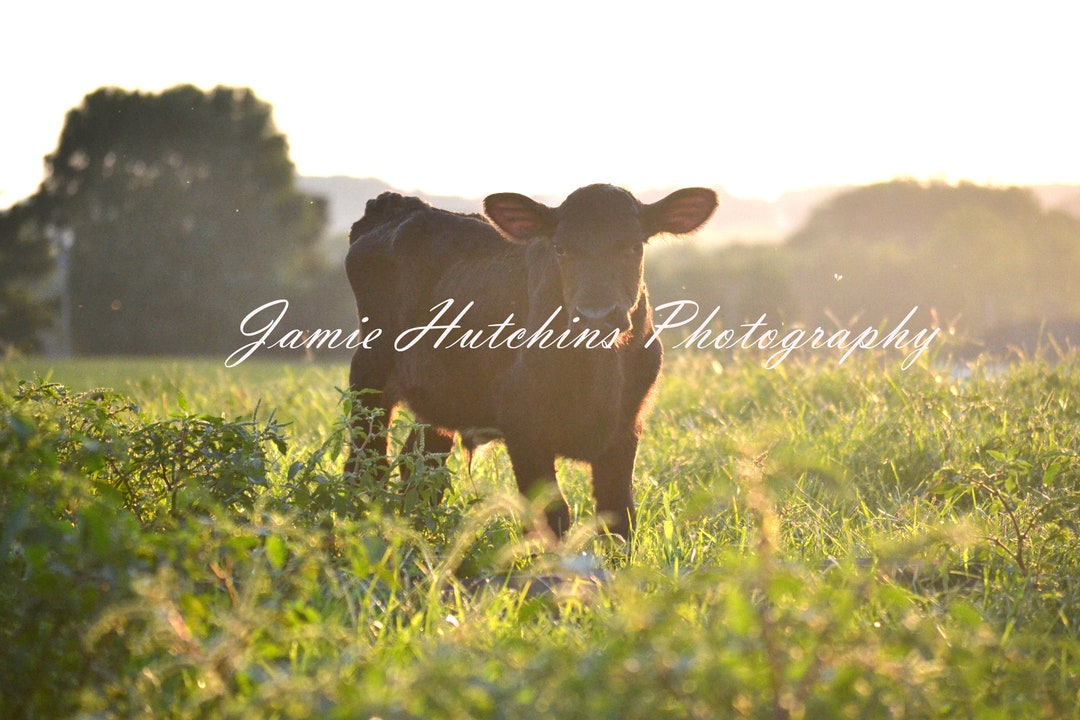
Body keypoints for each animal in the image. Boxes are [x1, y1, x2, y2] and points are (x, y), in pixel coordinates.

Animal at [344, 184, 717, 545]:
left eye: (633, 247)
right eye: (560, 249)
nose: (595, 315)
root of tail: (398, 204)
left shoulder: (626, 427)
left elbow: (618, 516)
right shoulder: (523, 427)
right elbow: (552, 516)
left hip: (442, 398)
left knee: (421, 471)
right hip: (369, 375)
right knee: (365, 466)